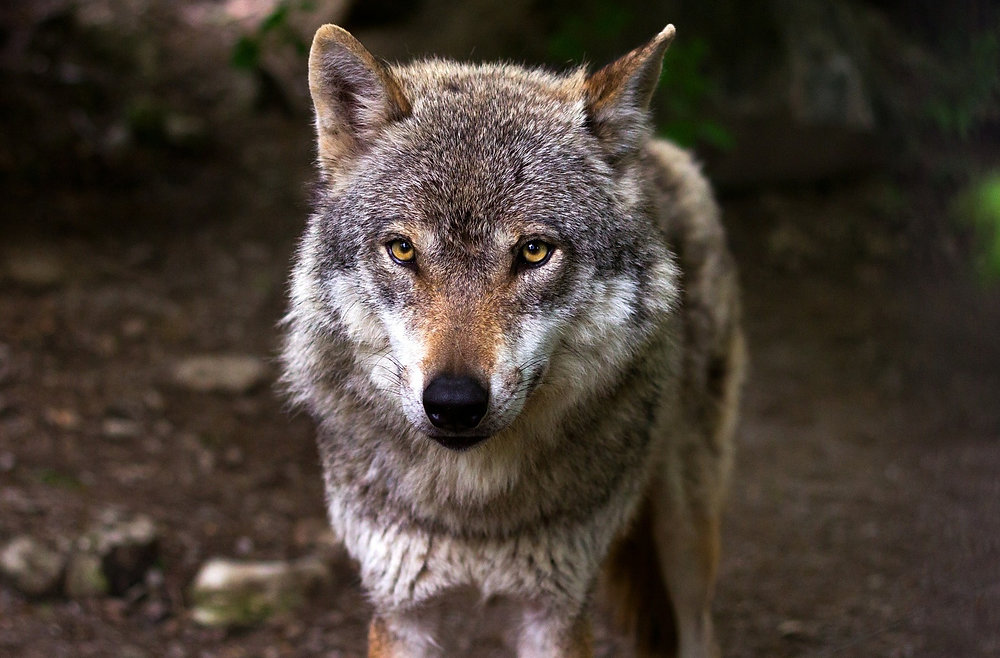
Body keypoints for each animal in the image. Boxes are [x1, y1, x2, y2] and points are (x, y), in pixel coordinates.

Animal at [281, 21, 745, 658]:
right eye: (402, 249)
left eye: (533, 252)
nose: (453, 403)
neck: (475, 509)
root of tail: (659, 152)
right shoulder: (401, 611)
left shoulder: (555, 612)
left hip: (687, 535)